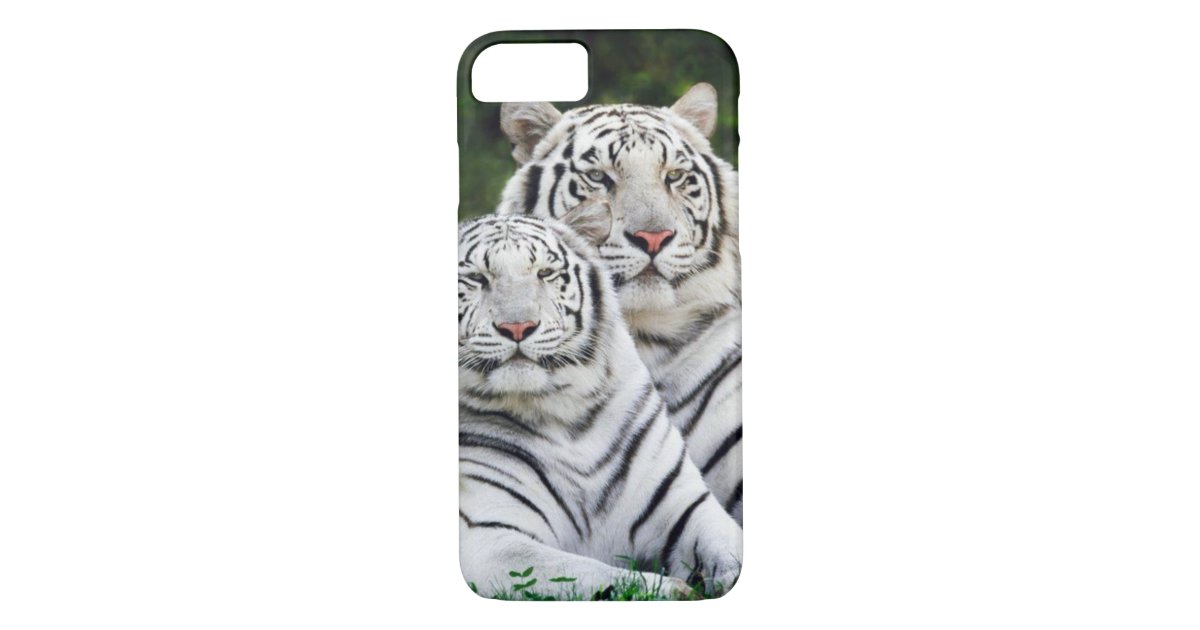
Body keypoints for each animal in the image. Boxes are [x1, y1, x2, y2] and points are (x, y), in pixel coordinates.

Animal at [458, 212, 742, 597]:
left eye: (545, 273)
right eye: (476, 278)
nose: (518, 327)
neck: (561, 414)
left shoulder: (686, 506)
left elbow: (730, 548)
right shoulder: (490, 540)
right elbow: (592, 576)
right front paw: (677, 591)